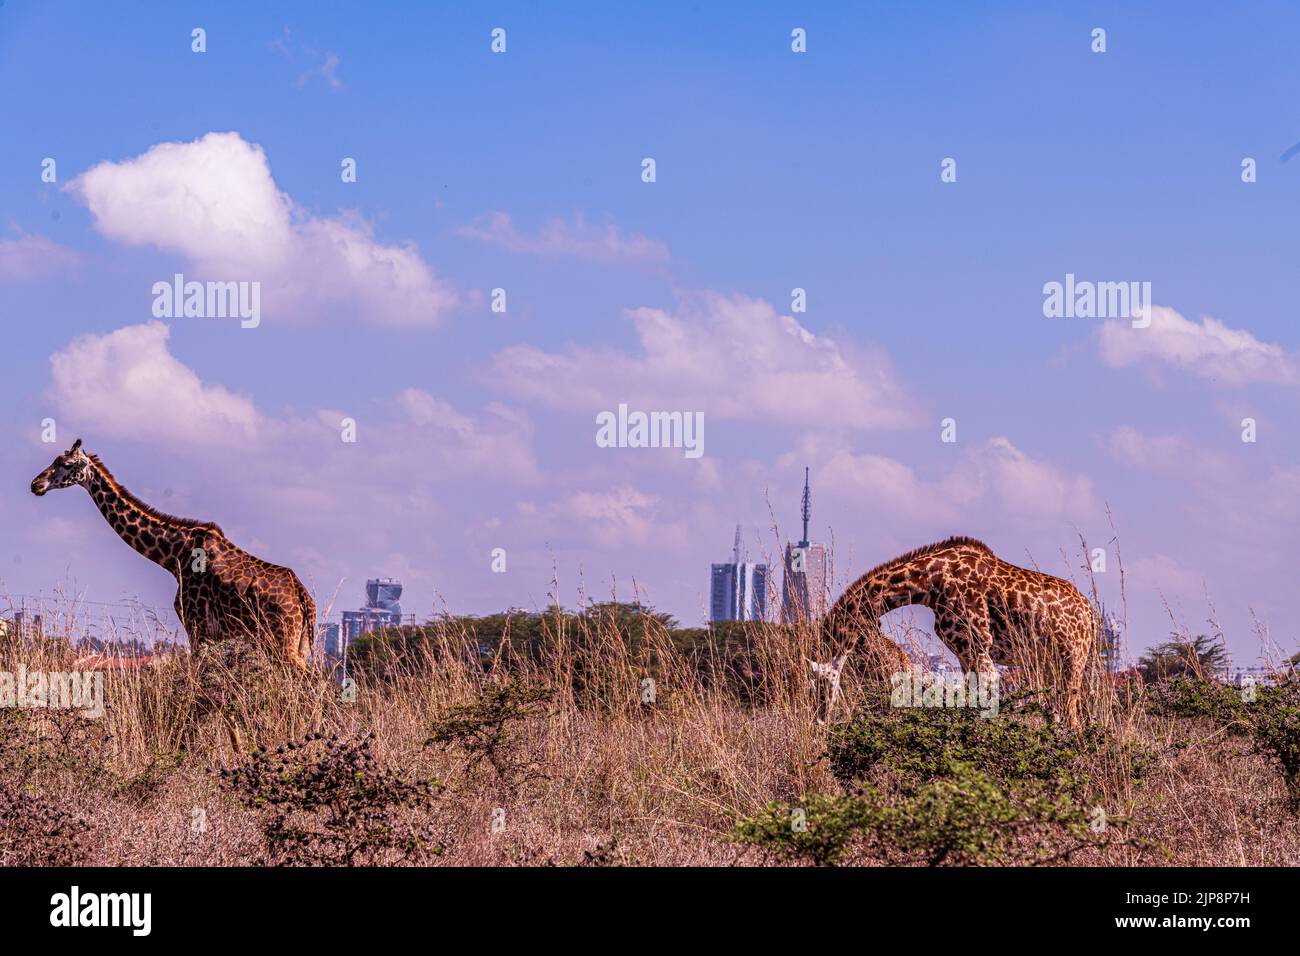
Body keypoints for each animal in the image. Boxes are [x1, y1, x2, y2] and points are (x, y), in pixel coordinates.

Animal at [31, 440, 316, 668]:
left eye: (66, 464)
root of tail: (305, 600)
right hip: (298, 646)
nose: (36, 484)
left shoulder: (198, 627)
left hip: (282, 644)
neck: (174, 555)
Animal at [819, 536, 1097, 727]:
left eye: (823, 676)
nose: (823, 717)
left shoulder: (978, 643)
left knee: (1073, 720)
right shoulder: (965, 652)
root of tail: (1092, 617)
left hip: (1071, 660)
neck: (928, 583)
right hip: (1052, 665)